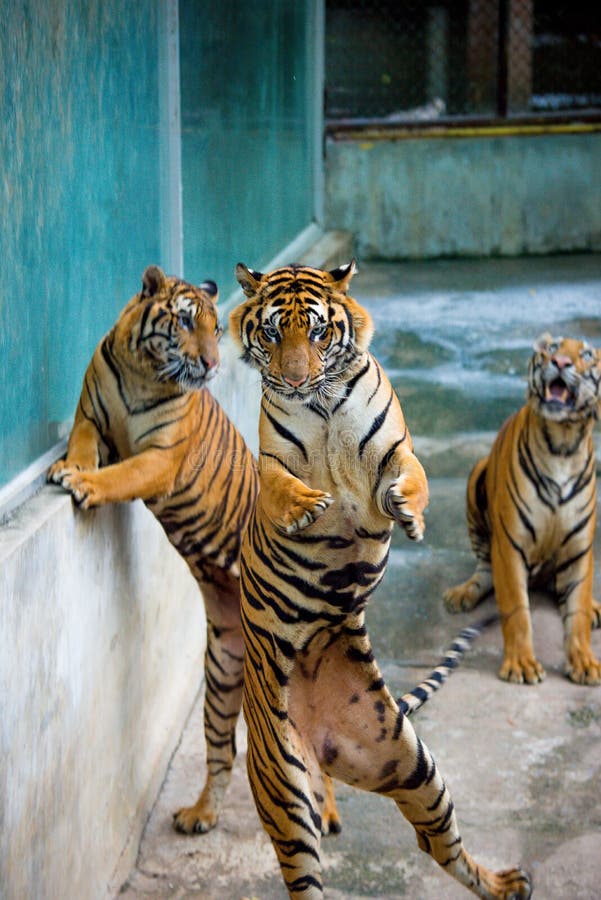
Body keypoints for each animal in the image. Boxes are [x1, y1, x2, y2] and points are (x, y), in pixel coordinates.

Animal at [47, 264, 262, 835]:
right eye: (187, 323)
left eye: (217, 328)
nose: (212, 365)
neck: (145, 370)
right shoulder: (89, 415)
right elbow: (81, 444)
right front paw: (67, 467)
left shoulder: (159, 459)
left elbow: (118, 476)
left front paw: (85, 483)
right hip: (220, 675)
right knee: (222, 752)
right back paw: (200, 815)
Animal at [229, 260, 531, 899]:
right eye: (272, 332)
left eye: (317, 332)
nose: (294, 379)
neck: (320, 405)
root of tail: (322, 747)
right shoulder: (271, 461)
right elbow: (279, 483)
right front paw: (304, 509)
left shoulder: (396, 447)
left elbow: (412, 474)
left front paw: (408, 510)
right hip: (286, 794)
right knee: (308, 877)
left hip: (412, 765)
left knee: (438, 844)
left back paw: (504, 883)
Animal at [445, 332, 601, 686]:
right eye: (553, 349)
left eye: (586, 354)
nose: (561, 362)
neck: (562, 444)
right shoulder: (509, 545)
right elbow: (517, 609)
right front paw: (521, 664)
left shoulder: (579, 548)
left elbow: (577, 611)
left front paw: (585, 663)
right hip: (477, 476)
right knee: (485, 571)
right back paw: (461, 595)